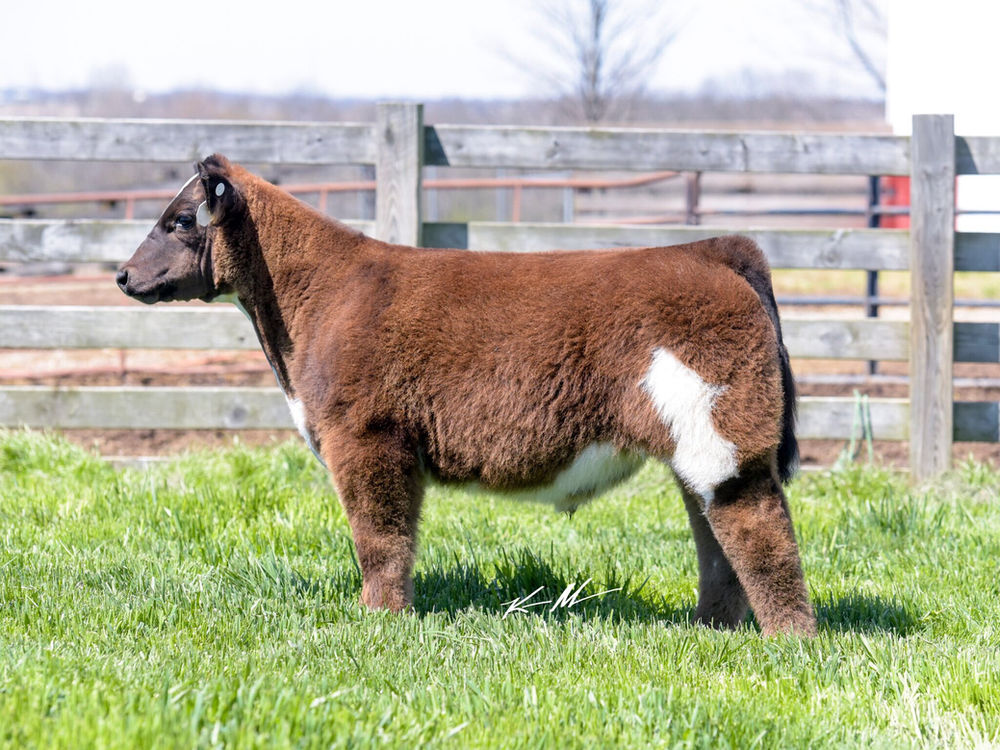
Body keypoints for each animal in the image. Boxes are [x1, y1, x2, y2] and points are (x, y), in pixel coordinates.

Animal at [117, 154, 816, 636]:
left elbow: (381, 537)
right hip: (695, 443)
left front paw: (379, 619)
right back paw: (713, 628)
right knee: (714, 534)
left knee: (758, 527)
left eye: (178, 221)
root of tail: (711, 248)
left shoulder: (364, 436)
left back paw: (790, 639)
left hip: (723, 432)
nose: (122, 275)